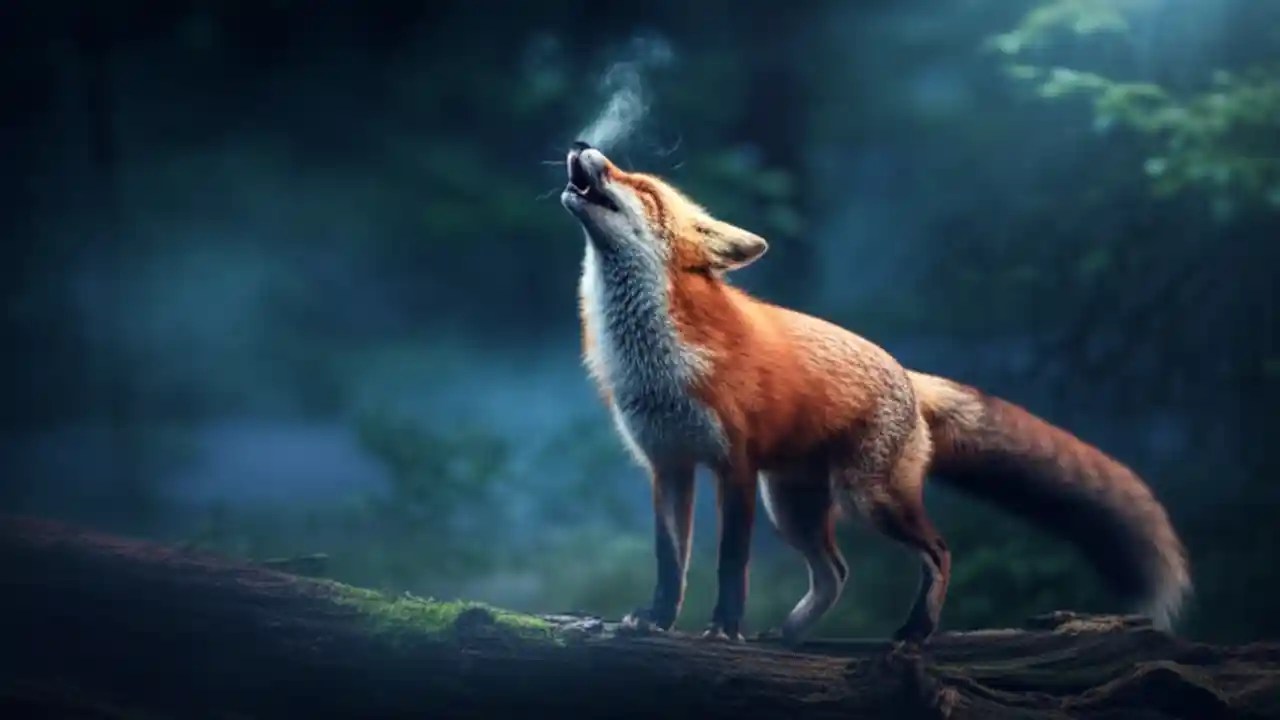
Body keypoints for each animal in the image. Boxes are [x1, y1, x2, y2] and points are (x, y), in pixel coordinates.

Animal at [558, 140, 1191, 645]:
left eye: (641, 187)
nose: (583, 143)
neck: (656, 362)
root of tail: (907, 374)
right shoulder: (668, 464)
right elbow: (670, 562)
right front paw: (656, 621)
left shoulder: (733, 464)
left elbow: (730, 562)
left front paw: (724, 629)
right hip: (793, 505)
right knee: (834, 574)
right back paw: (789, 634)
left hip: (867, 497)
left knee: (937, 551)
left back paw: (914, 631)